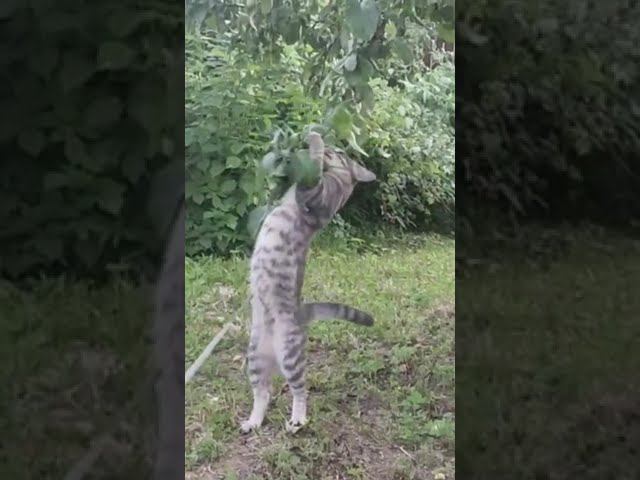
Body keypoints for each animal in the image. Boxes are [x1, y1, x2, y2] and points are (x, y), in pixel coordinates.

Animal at [241, 132, 376, 434]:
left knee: (300, 390)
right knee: (263, 393)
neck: (340, 184)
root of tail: (302, 312)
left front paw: (314, 139)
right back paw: (253, 421)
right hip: (254, 358)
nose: (335, 145)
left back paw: (298, 420)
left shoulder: (316, 195)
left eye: (340, 153)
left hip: (290, 356)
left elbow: (312, 166)